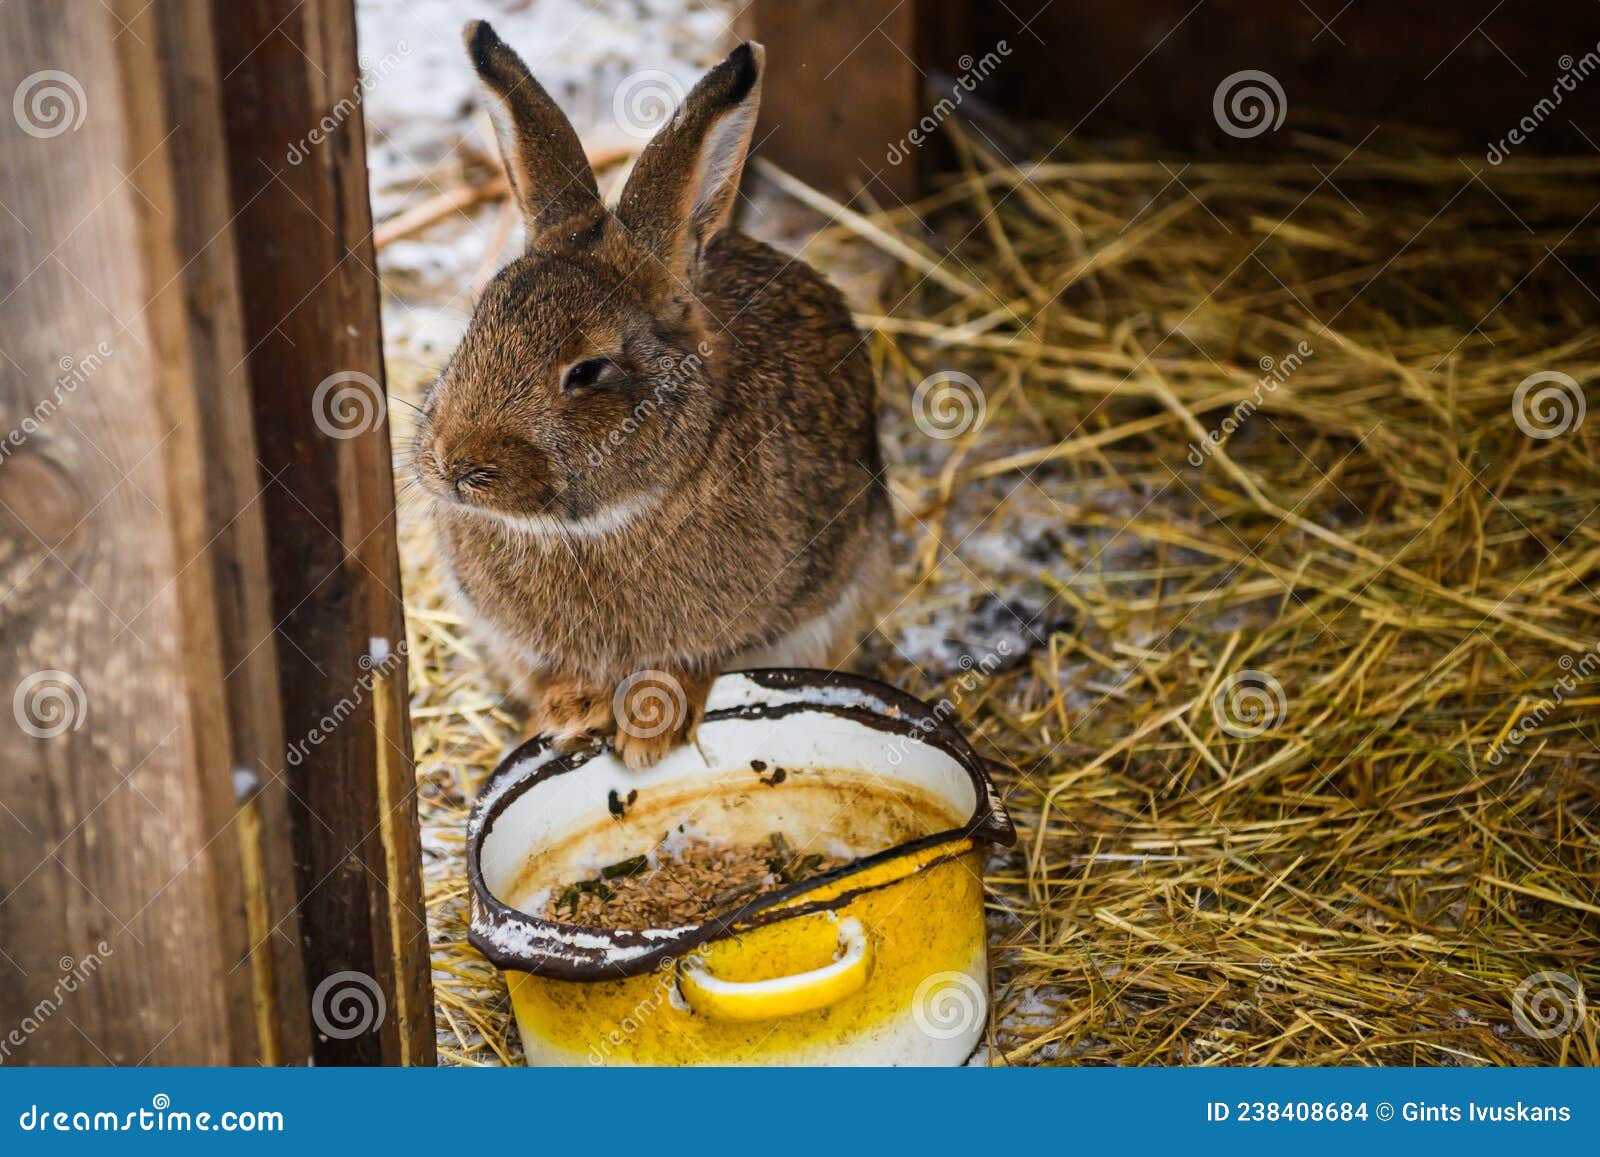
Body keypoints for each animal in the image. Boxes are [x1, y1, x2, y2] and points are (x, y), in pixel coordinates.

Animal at [414, 21, 893, 769]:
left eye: (587, 371)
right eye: (478, 323)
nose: (456, 466)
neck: (598, 524)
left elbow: (698, 663)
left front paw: (646, 731)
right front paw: (570, 712)